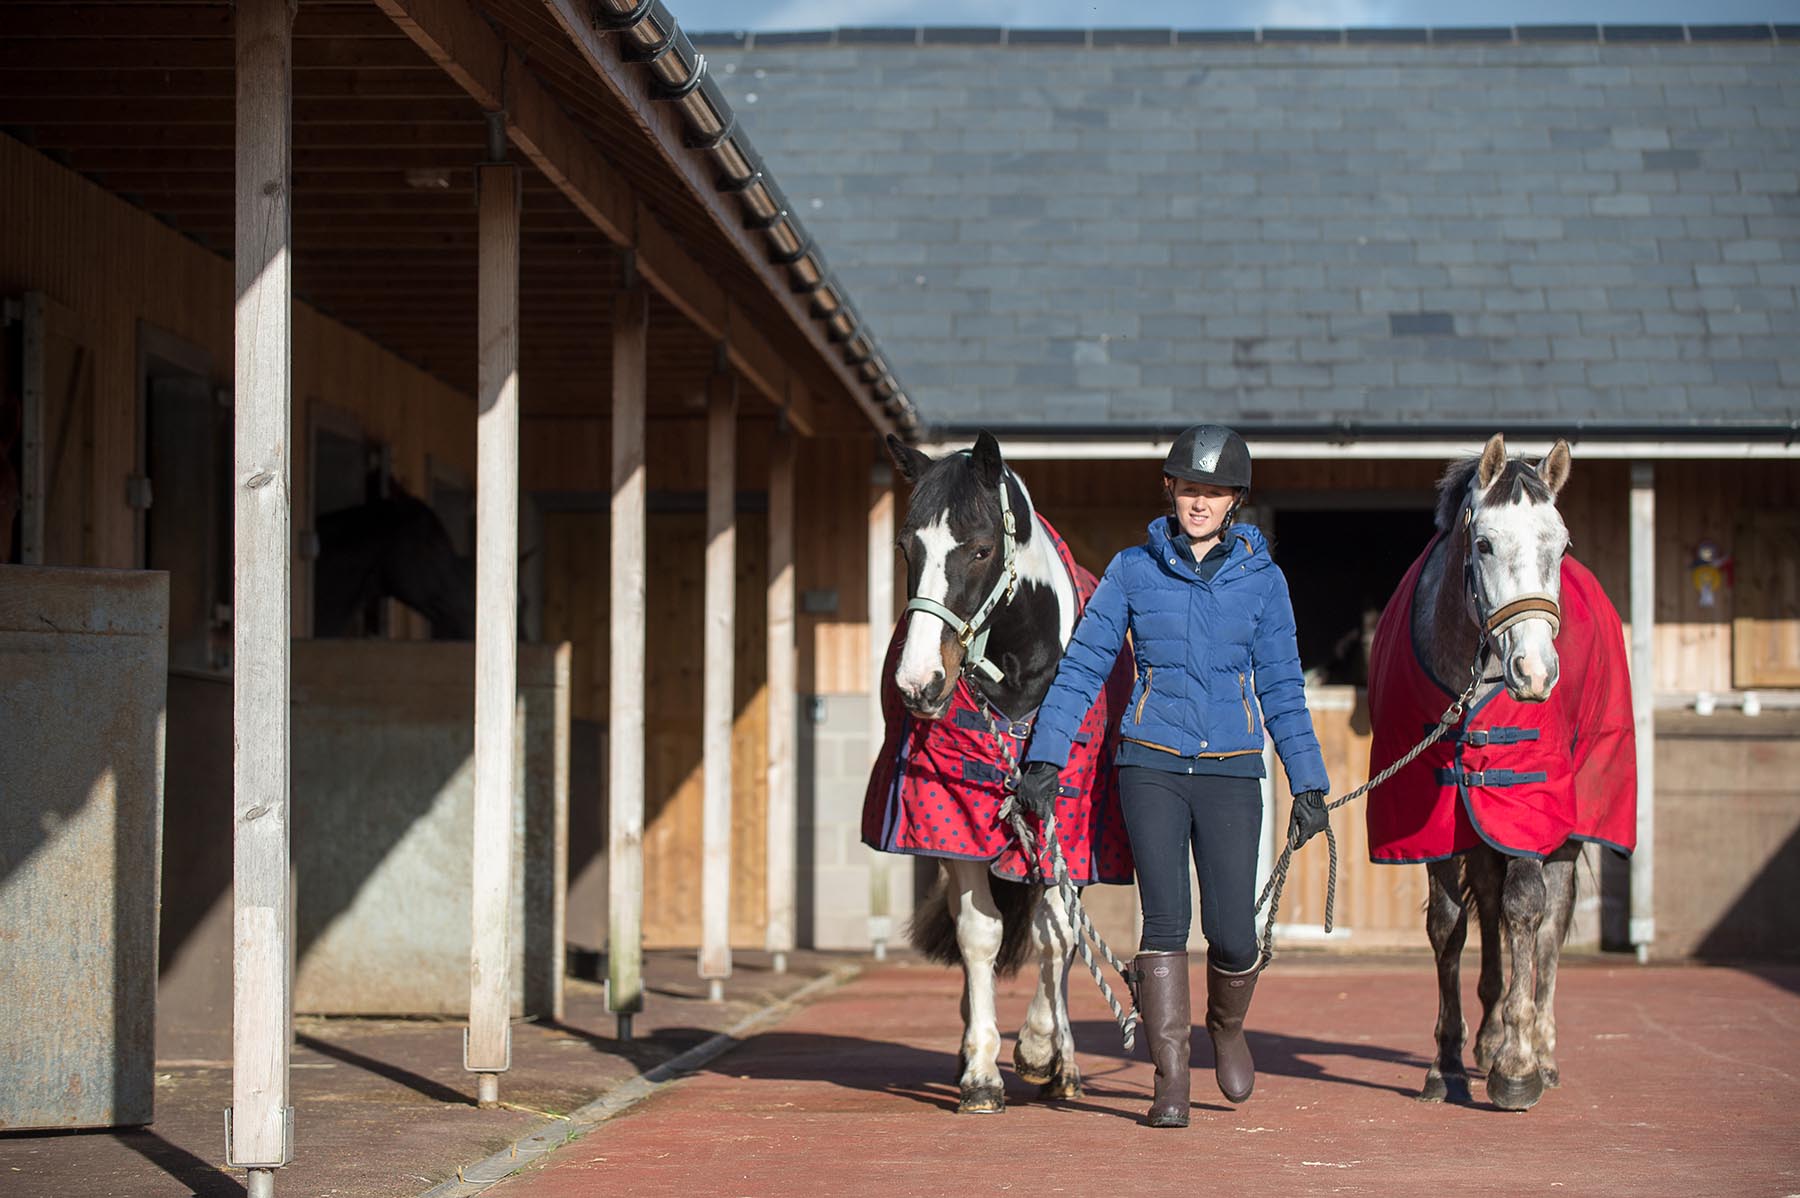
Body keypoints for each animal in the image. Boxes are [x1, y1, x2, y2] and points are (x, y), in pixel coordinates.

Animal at [870, 431, 1131, 1114]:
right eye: (905, 548)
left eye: (982, 548)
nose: (919, 683)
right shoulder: (951, 818)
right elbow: (979, 936)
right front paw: (982, 1072)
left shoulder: (1066, 819)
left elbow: (1056, 936)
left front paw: (1041, 1049)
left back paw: (1064, 1061)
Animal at [1365, 433, 1636, 1112]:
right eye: (1484, 543)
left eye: (1561, 545)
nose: (1535, 673)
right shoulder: (1434, 816)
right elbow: (1448, 926)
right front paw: (1448, 1063)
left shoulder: (1527, 802)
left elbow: (1524, 910)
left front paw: (1518, 1064)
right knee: (1487, 907)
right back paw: (1486, 1039)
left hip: (1564, 822)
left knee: (1549, 921)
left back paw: (1540, 1046)